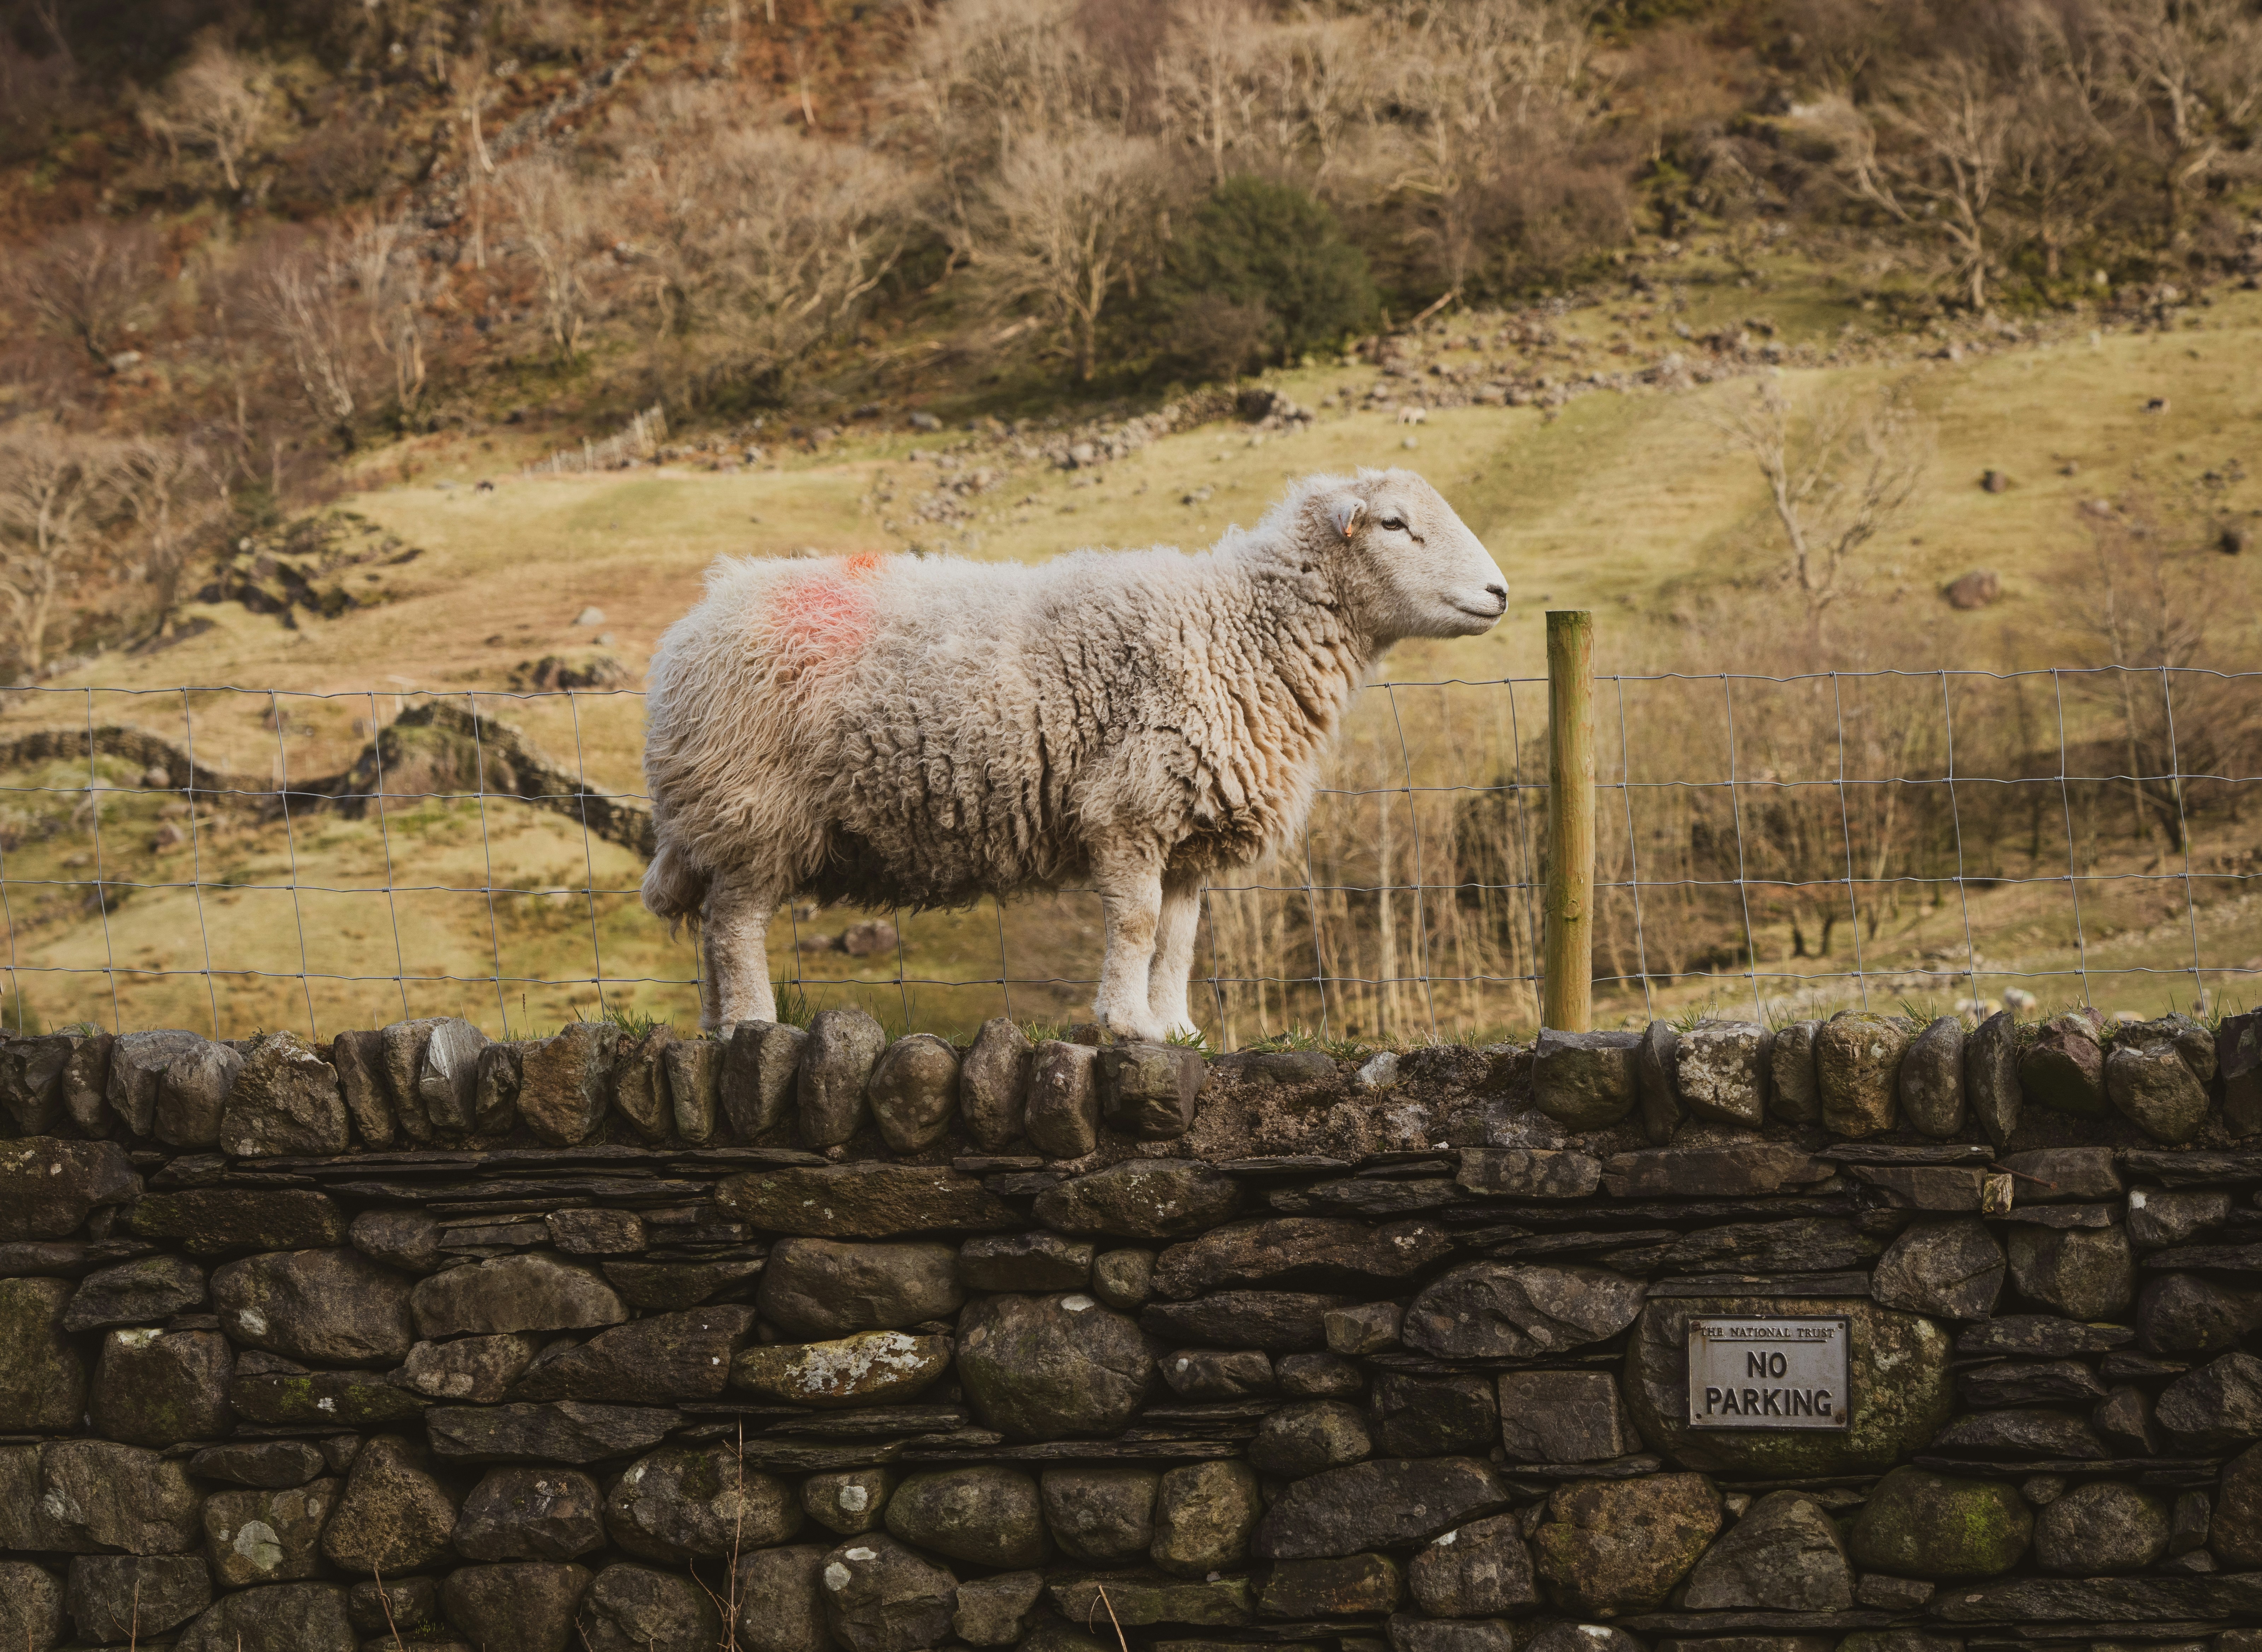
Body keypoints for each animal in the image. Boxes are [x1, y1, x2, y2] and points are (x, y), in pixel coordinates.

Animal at [641, 466, 1507, 1043]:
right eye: (1393, 524)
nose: (1499, 593)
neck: (1237, 630)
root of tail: (704, 612)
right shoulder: (1129, 807)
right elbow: (1137, 923)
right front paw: (1124, 1022)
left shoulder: (1188, 830)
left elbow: (1179, 940)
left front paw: (1176, 1027)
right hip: (751, 801)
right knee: (736, 925)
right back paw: (752, 1026)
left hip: (725, 814)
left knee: (714, 923)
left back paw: (716, 1027)